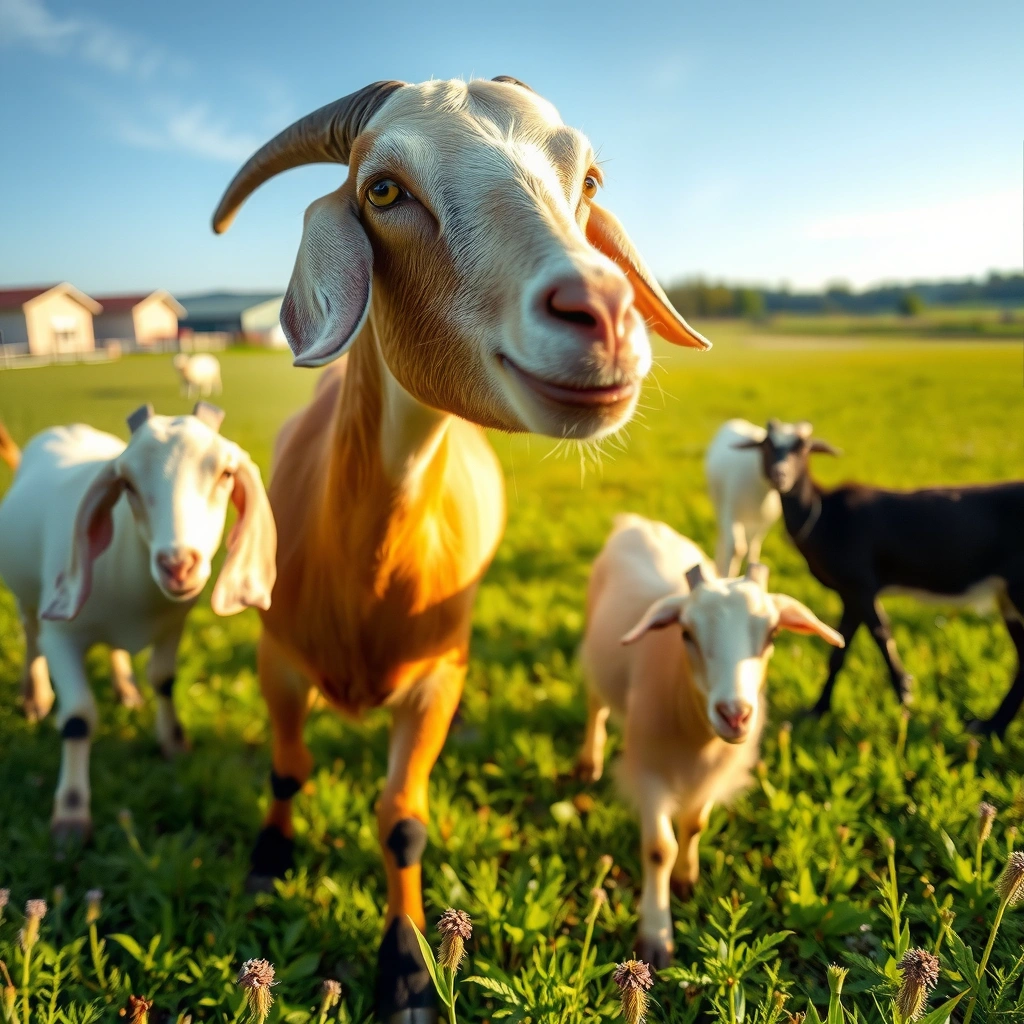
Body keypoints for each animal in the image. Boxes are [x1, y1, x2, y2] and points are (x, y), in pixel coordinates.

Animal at [0, 404, 276, 841]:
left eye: (225, 475)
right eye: (126, 484)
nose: (177, 565)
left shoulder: (173, 626)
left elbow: (164, 680)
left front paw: (174, 742)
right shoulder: (62, 635)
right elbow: (78, 717)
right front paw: (71, 813)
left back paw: (125, 688)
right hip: (27, 601)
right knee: (30, 637)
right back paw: (34, 696)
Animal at [212, 76, 710, 1022]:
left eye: (588, 180)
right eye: (383, 190)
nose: (605, 313)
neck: (364, 576)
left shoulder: (439, 677)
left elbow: (402, 818)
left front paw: (408, 969)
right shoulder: (275, 656)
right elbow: (289, 769)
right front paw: (265, 863)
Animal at [577, 514, 842, 966]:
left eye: (772, 634)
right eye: (686, 632)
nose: (734, 714)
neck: (693, 729)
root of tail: (637, 522)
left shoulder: (714, 775)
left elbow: (695, 823)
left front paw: (686, 878)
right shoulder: (647, 769)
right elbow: (658, 848)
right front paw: (655, 935)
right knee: (596, 707)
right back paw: (588, 762)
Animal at [705, 419, 782, 575]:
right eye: (768, 448)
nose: (780, 476)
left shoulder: (762, 522)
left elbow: (751, 548)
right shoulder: (731, 512)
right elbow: (737, 548)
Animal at [736, 419, 1024, 735]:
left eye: (803, 447)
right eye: (766, 445)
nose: (780, 475)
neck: (824, 515)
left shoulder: (861, 584)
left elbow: (881, 633)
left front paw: (905, 694)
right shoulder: (848, 592)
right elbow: (839, 649)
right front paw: (818, 709)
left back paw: (990, 726)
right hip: (1008, 598)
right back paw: (993, 726)